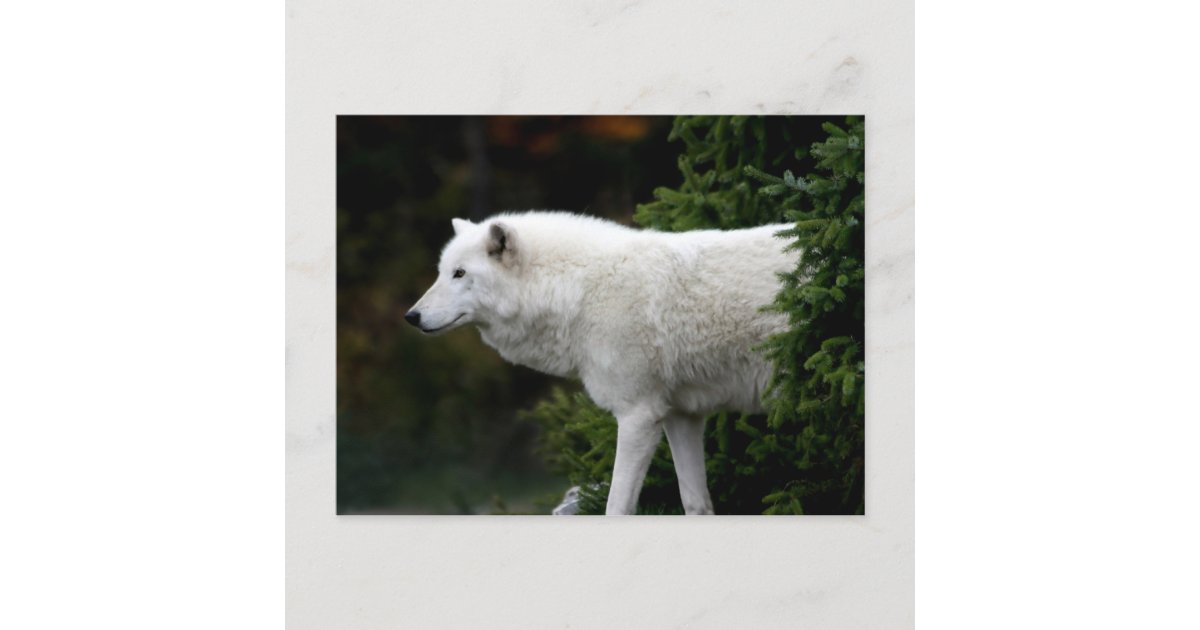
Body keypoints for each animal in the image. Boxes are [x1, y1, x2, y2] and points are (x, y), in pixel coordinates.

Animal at [406, 212, 797, 515]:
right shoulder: (681, 415)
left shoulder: (638, 416)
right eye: (441, 272)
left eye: (459, 273)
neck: (578, 291)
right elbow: (695, 502)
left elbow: (616, 507)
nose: (411, 316)